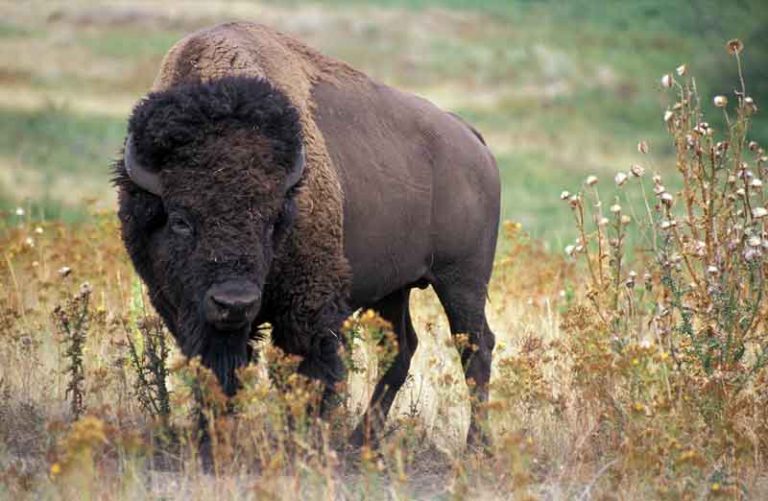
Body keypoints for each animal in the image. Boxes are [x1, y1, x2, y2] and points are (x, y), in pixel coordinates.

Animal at [115, 22, 500, 447]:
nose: (235, 302)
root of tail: (471, 138)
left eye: (272, 220)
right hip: (393, 288)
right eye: (181, 220)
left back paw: (475, 445)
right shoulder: (183, 308)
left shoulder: (307, 307)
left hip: (462, 280)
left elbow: (307, 375)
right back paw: (361, 440)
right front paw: (212, 439)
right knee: (401, 347)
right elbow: (217, 372)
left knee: (475, 347)